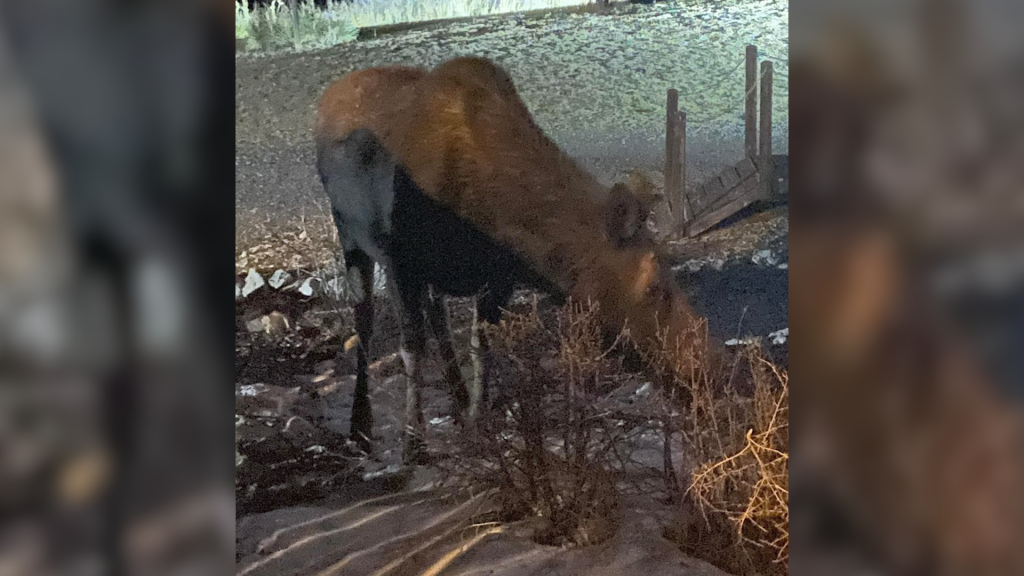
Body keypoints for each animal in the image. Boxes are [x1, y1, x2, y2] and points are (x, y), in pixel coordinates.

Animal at [315, 56, 715, 463]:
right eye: (654, 287)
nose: (705, 363)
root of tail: (330, 95)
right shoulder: (400, 262)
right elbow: (411, 347)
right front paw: (413, 443)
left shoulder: (497, 276)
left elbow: (480, 345)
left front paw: (477, 420)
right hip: (350, 236)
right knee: (365, 321)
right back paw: (360, 427)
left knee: (438, 315)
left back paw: (458, 398)